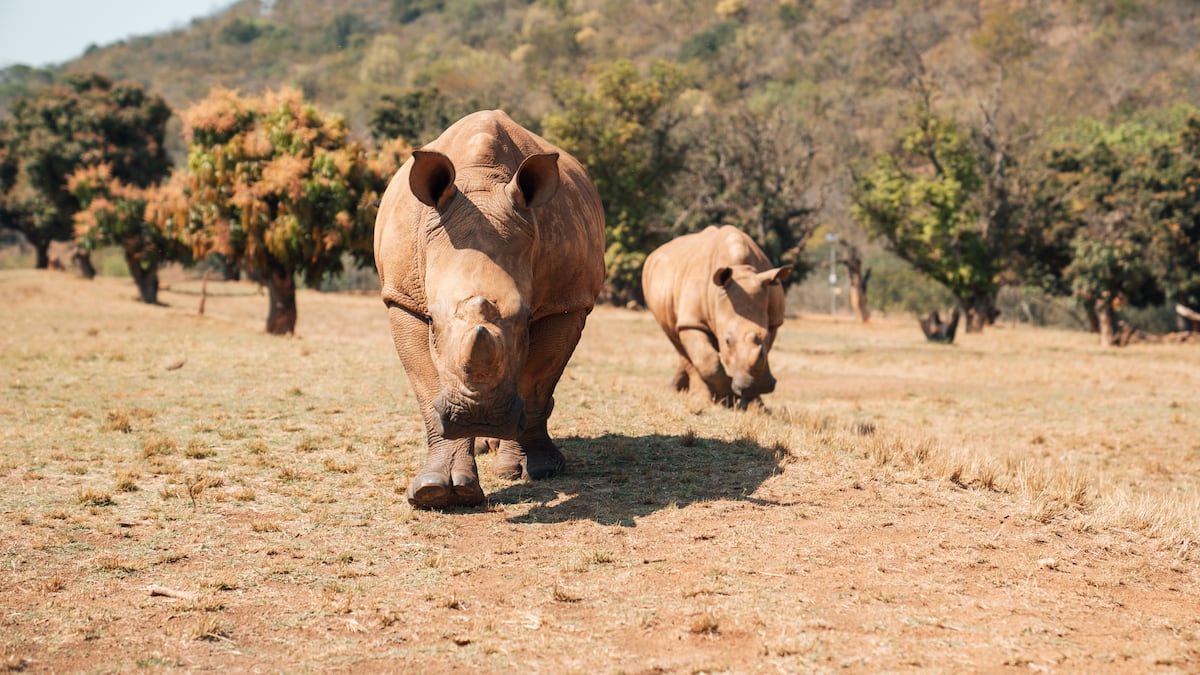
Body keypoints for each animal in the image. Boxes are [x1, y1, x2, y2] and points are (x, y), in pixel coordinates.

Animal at [374, 110, 605, 509]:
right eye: (431, 320)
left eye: (527, 318)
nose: (476, 414)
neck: (481, 183)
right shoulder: (403, 298)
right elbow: (427, 385)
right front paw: (438, 491)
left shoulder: (566, 301)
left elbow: (536, 381)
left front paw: (534, 471)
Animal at [642, 226, 791, 409]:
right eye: (727, 341)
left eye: (766, 335)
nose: (756, 385)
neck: (741, 270)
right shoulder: (692, 321)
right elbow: (707, 360)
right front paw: (725, 398)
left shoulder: (774, 322)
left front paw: (753, 405)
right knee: (677, 340)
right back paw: (695, 396)